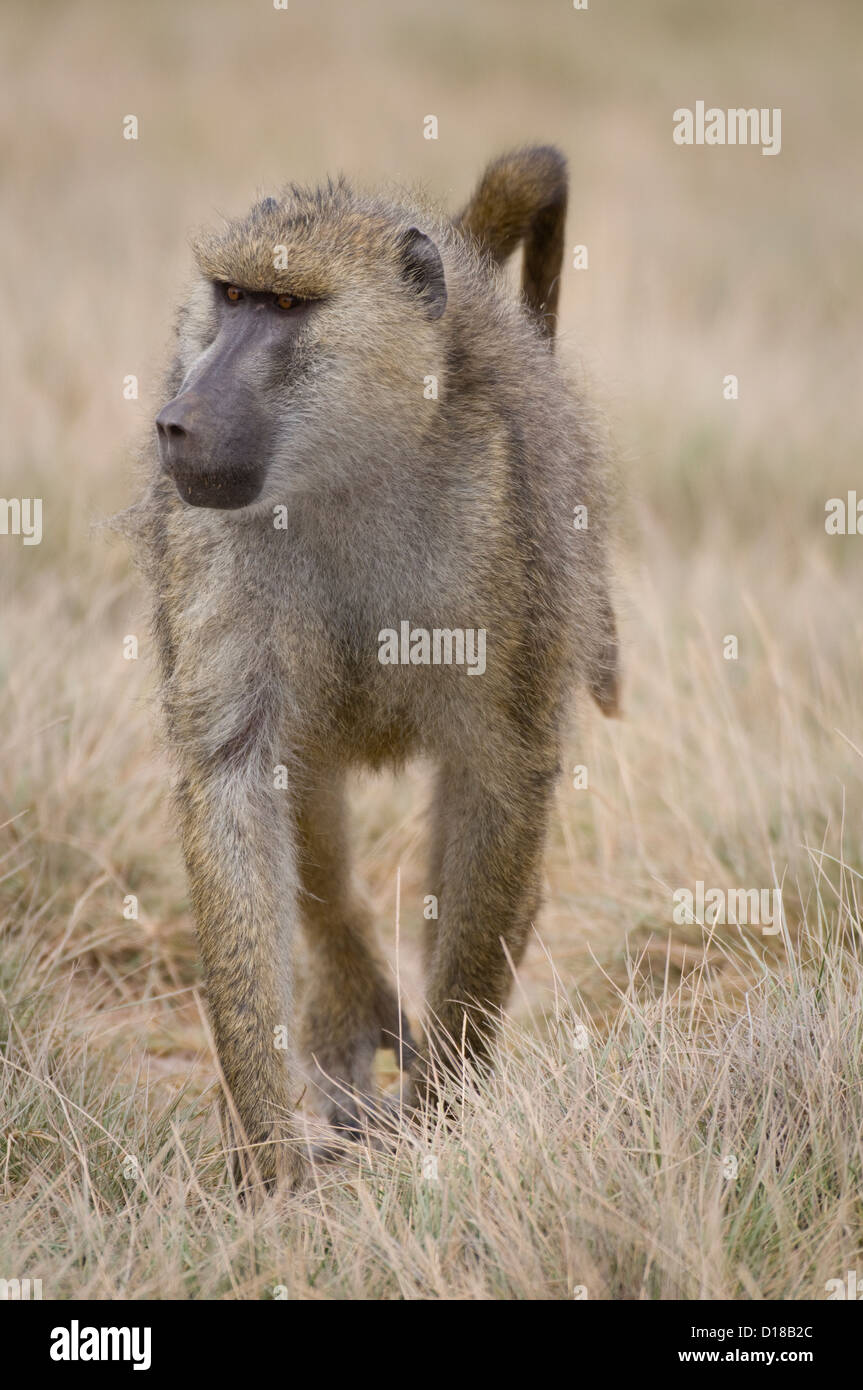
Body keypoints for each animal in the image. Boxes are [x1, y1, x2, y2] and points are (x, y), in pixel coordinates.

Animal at [120, 146, 619, 1192]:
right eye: (231, 296)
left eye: (286, 306)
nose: (177, 422)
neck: (349, 471)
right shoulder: (209, 541)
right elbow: (234, 774)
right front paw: (271, 1158)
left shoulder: (499, 521)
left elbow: (501, 775)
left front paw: (439, 1115)